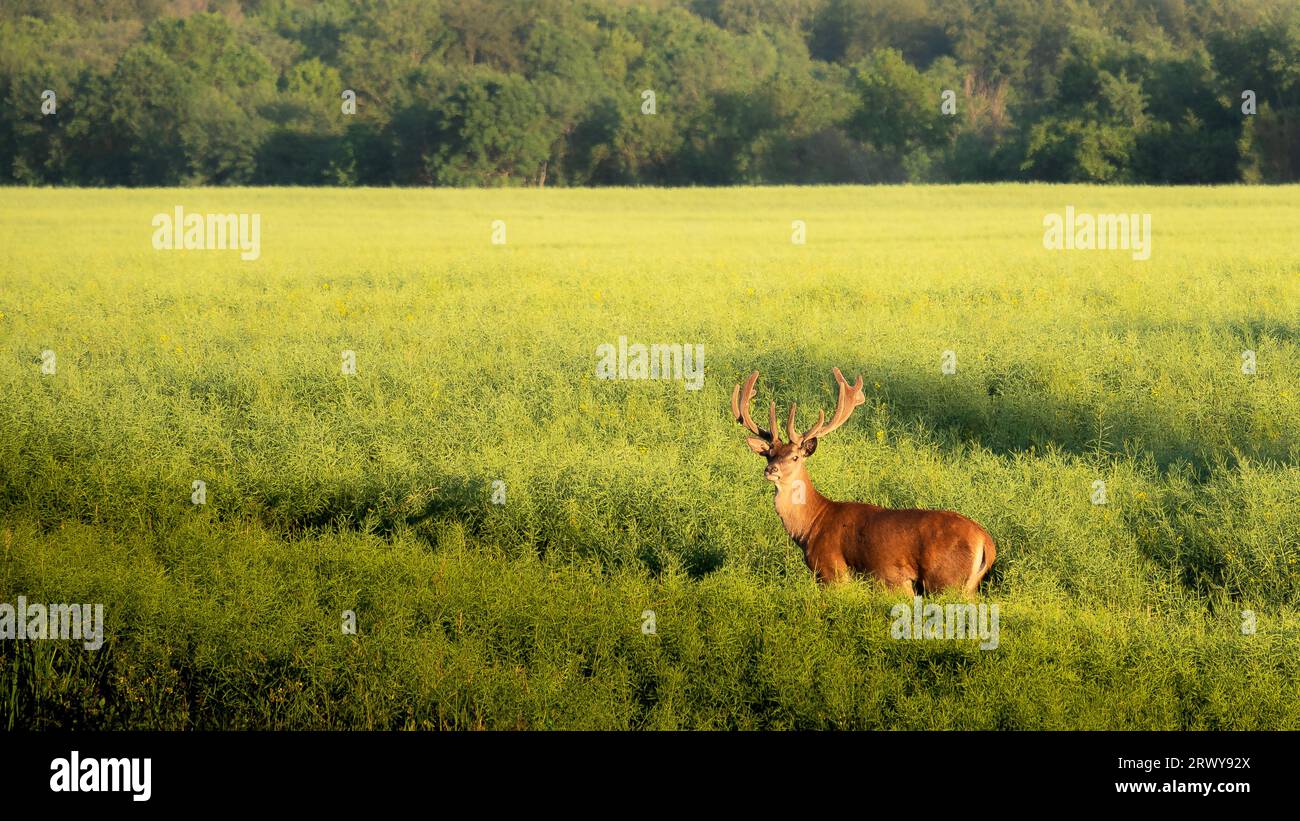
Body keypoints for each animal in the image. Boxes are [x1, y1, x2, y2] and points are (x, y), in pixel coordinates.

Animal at [731, 368, 995, 596]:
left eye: (795, 457)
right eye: (769, 453)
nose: (770, 470)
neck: (811, 527)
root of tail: (986, 542)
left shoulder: (832, 570)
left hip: (946, 580)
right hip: (965, 586)